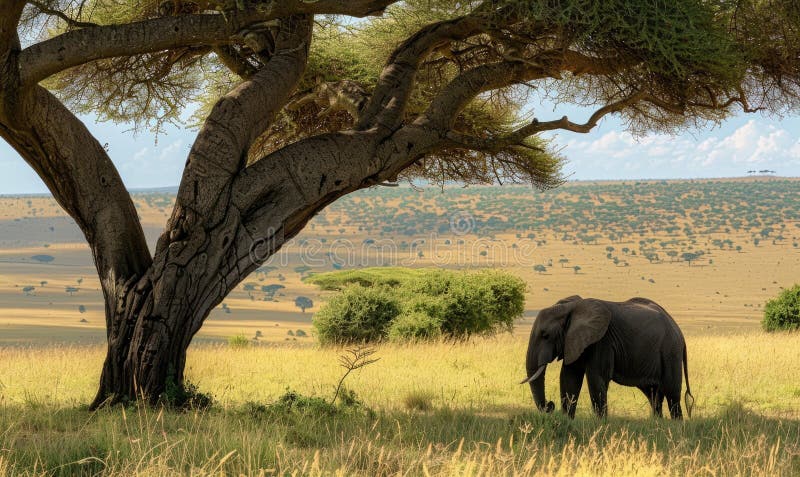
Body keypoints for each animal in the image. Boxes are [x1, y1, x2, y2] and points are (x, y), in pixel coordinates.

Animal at [521, 295, 693, 419]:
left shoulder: (602, 341)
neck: (572, 307)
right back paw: (657, 422)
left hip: (671, 351)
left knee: (672, 392)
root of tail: (679, 331)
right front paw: (567, 420)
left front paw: (600, 423)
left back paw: (676, 424)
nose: (550, 405)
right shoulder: (574, 340)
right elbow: (569, 377)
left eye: (545, 335)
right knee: (654, 394)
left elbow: (596, 377)